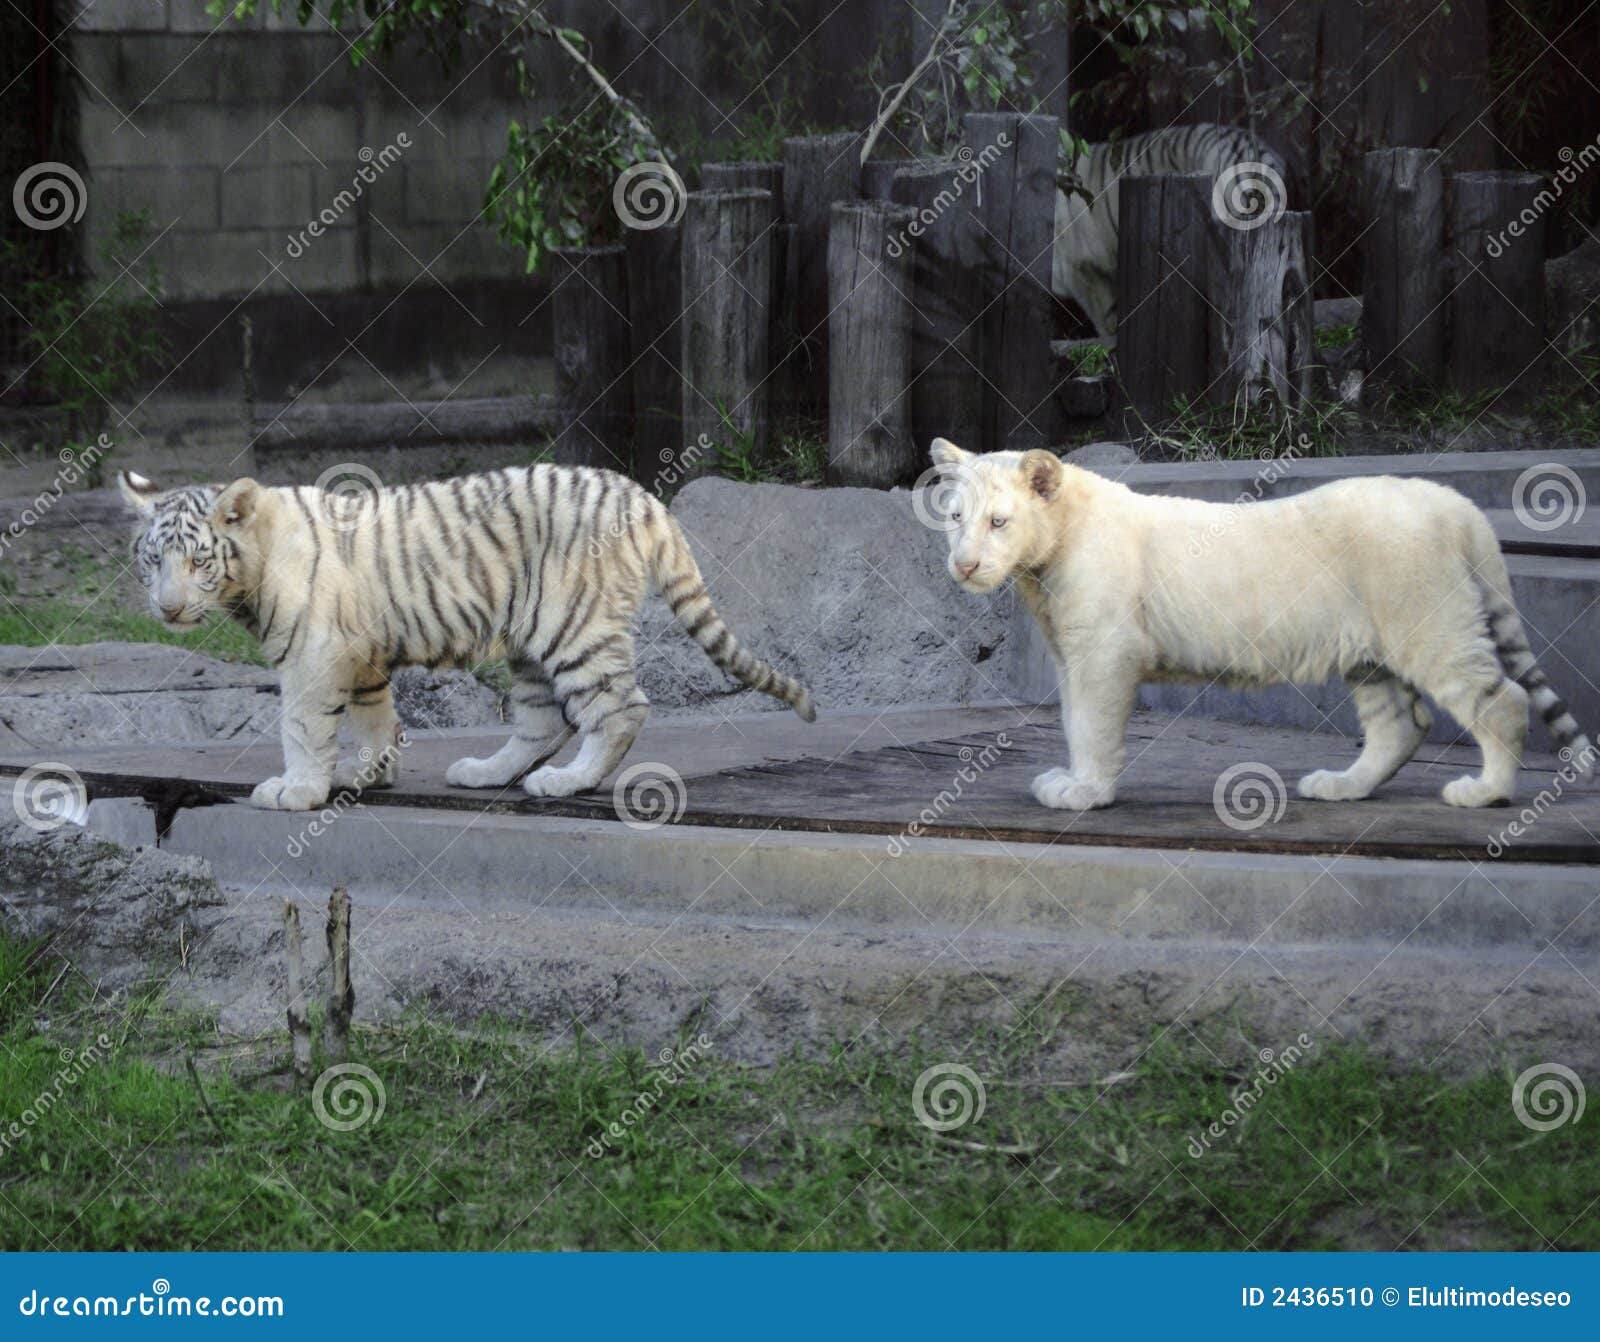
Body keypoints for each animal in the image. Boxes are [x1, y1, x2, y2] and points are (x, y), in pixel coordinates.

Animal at [119, 465, 815, 811]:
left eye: (198, 561)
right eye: (153, 560)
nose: (167, 608)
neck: (253, 570)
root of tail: (639, 494)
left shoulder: (313, 657)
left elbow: (302, 727)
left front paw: (296, 791)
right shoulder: (360, 655)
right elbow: (373, 718)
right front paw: (369, 774)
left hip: (572, 622)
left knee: (618, 707)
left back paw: (568, 782)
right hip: (530, 639)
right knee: (542, 720)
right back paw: (485, 772)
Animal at [929, 438, 1595, 811]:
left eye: (998, 522)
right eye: (956, 517)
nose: (963, 565)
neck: (1042, 564)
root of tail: (1455, 504)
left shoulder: (1102, 653)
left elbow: (1092, 726)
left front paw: (1085, 794)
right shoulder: (1072, 655)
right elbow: (1071, 722)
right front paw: (1069, 781)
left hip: (1430, 626)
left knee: (1502, 701)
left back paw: (1486, 793)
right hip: (1371, 654)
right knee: (1400, 727)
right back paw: (1341, 784)